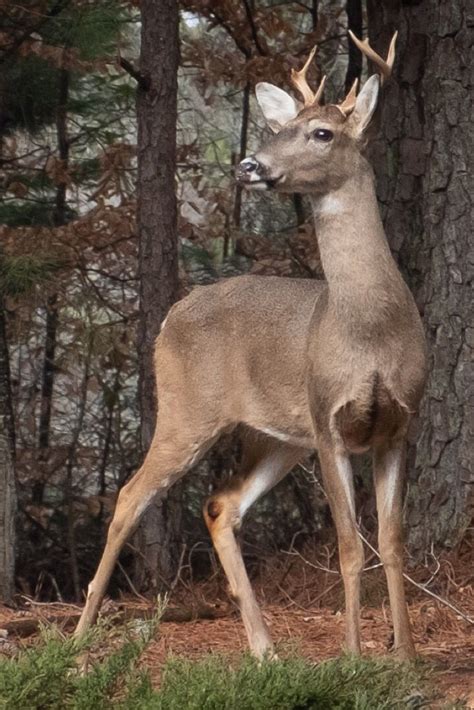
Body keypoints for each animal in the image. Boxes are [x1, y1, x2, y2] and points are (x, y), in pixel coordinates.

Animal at [75, 33, 427, 661]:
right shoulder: (327, 418)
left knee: (221, 504)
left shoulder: (399, 424)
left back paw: (265, 649)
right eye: (278, 129)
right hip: (188, 411)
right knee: (130, 494)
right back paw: (76, 635)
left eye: (322, 132)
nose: (250, 164)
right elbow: (349, 545)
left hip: (277, 436)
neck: (371, 332)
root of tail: (169, 316)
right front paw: (353, 657)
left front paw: (405, 658)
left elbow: (391, 541)